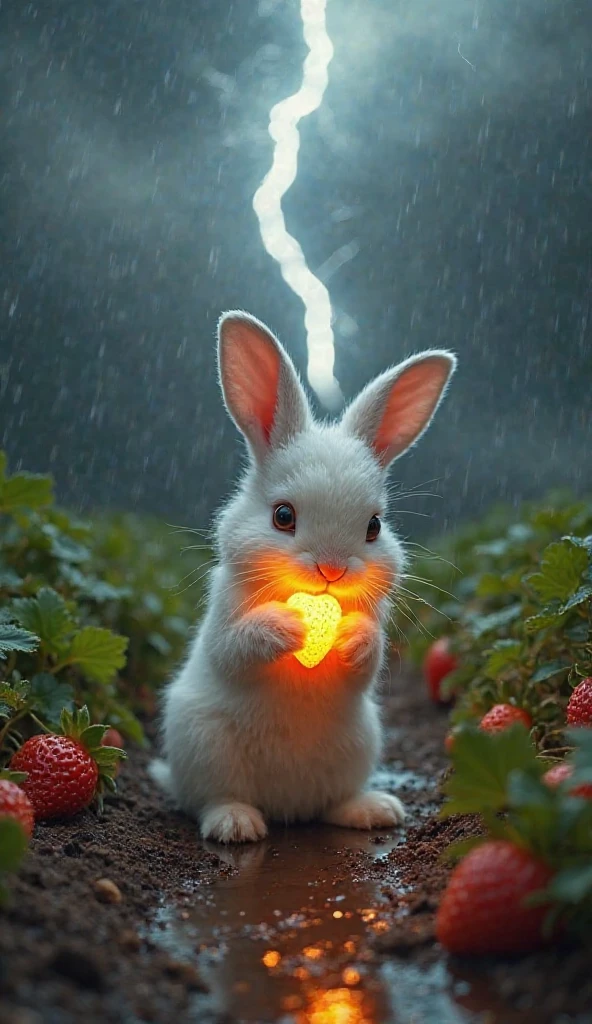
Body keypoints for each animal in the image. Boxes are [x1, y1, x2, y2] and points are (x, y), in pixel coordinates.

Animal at [150, 311, 456, 843]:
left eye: (373, 526)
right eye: (283, 516)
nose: (331, 570)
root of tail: (286, 808)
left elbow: (371, 657)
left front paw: (351, 637)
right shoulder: (225, 622)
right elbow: (235, 648)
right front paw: (290, 627)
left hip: (359, 744)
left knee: (331, 803)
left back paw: (375, 810)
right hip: (203, 743)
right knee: (212, 799)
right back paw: (237, 824)